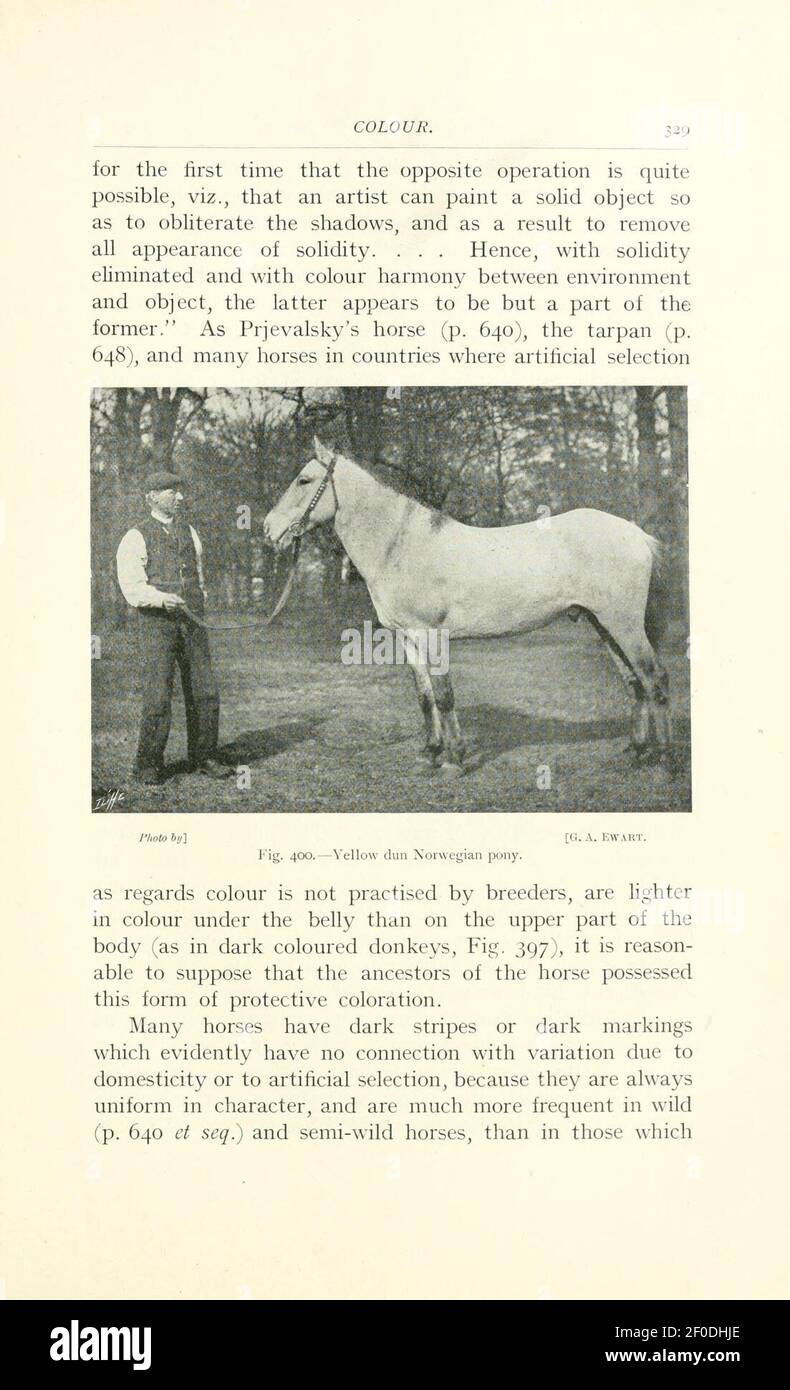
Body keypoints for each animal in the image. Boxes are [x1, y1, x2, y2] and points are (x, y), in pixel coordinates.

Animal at [263, 438, 674, 775]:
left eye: (304, 480)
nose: (268, 528)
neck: (401, 545)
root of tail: (636, 534)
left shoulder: (432, 635)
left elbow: (445, 696)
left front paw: (453, 760)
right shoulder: (408, 638)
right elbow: (425, 696)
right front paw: (429, 753)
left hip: (624, 624)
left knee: (655, 678)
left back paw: (663, 759)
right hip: (602, 624)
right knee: (634, 682)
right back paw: (636, 751)